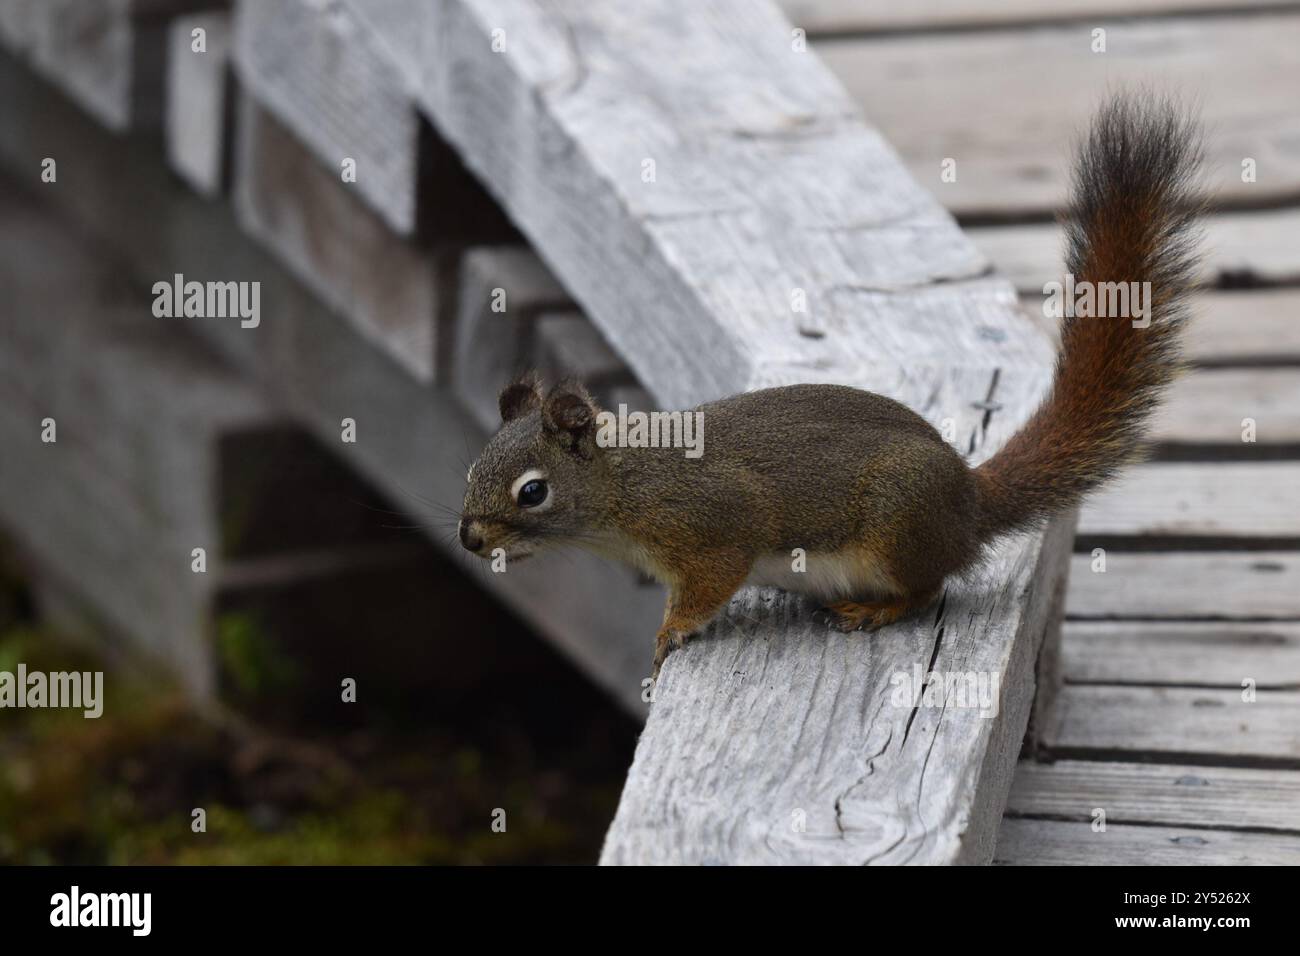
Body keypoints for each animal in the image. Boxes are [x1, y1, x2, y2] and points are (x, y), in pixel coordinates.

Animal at [459, 94, 1203, 677]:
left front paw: (670, 634)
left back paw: (874, 610)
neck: (621, 490)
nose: (470, 539)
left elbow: (708, 585)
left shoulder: (710, 527)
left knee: (928, 588)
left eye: (532, 492)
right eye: (473, 469)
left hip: (898, 521)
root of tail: (969, 501)